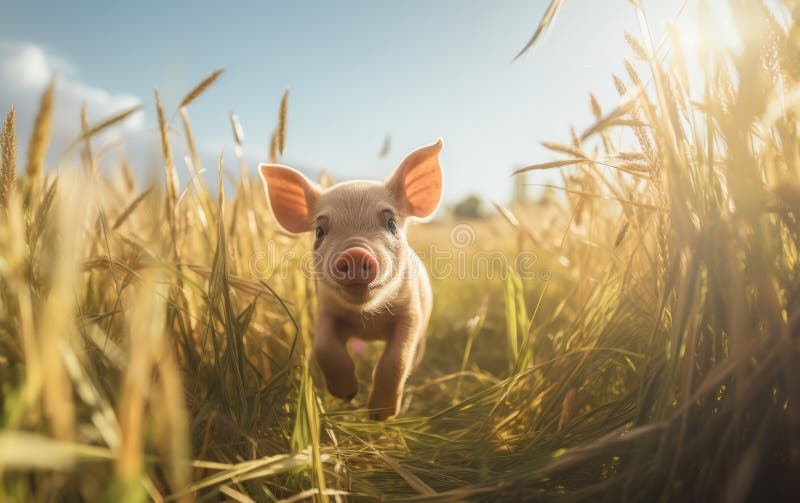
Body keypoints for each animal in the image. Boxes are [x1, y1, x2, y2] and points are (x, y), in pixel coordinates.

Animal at [259, 139, 443, 420]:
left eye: (392, 223)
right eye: (319, 231)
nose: (355, 252)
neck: (367, 321)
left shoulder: (411, 313)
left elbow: (396, 359)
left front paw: (379, 416)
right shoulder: (326, 310)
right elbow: (324, 347)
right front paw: (346, 395)